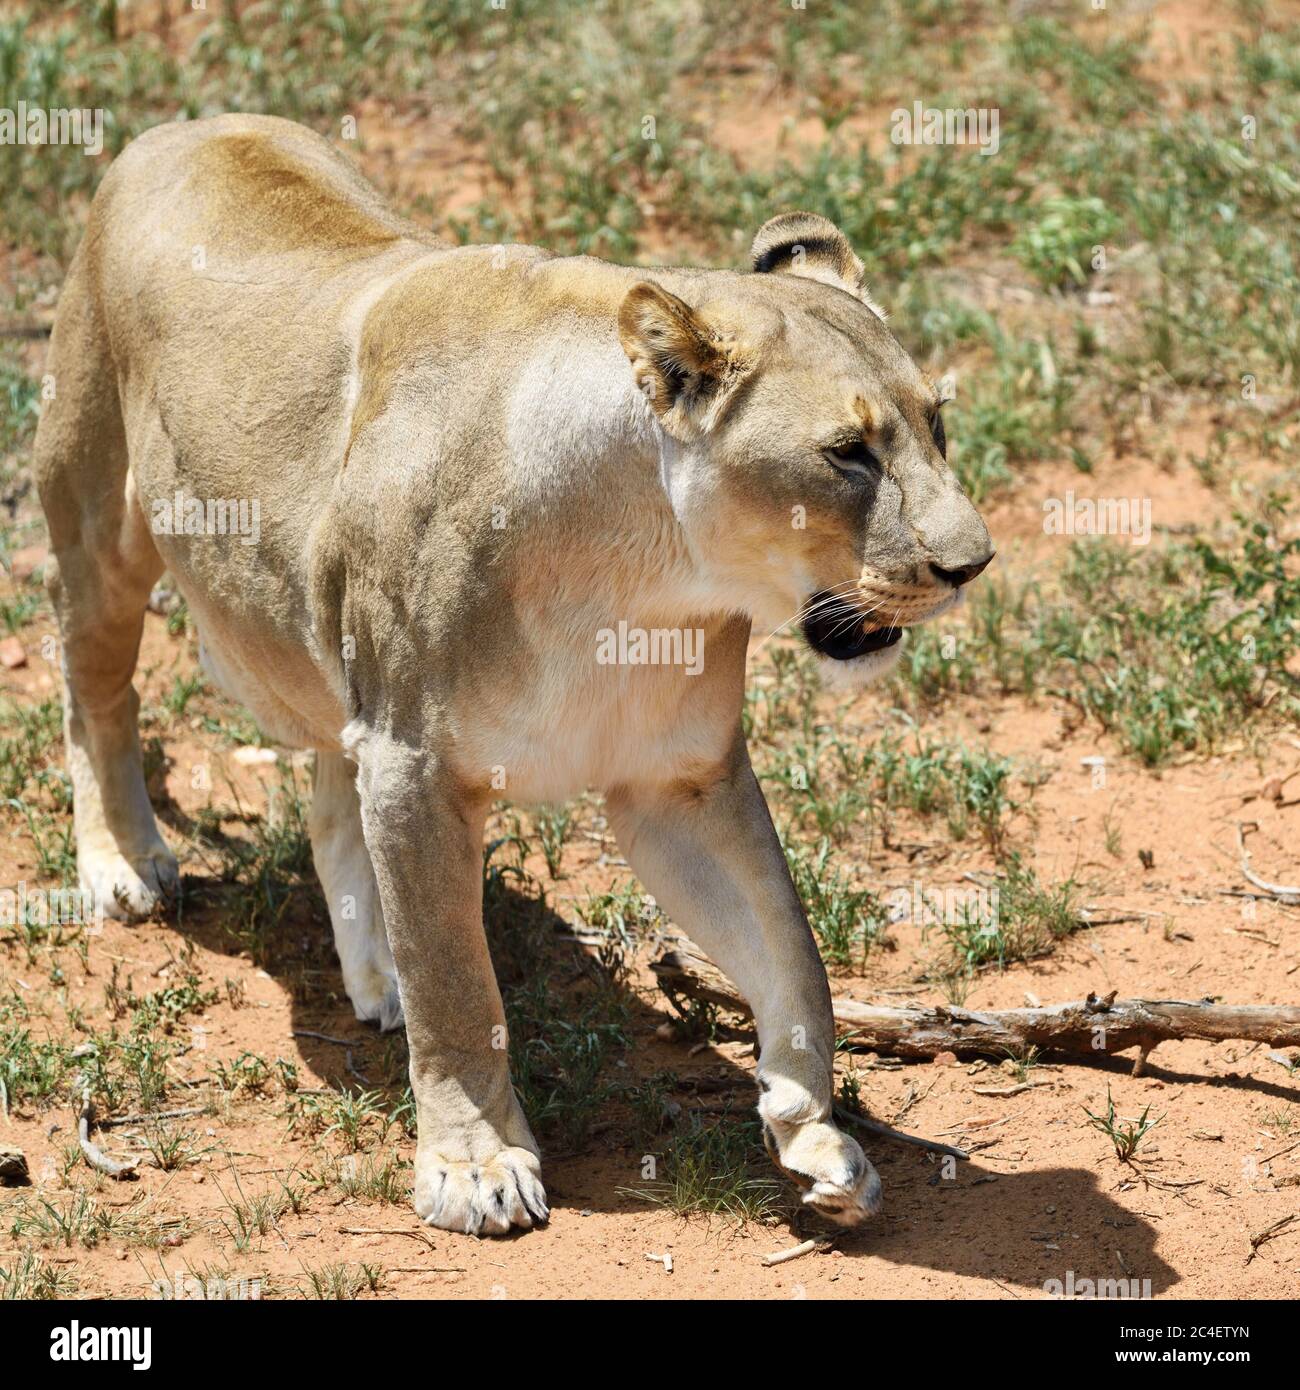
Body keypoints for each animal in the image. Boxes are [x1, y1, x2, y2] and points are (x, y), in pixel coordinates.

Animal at [35, 113, 993, 1236]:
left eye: (938, 422)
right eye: (846, 452)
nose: (972, 563)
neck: (641, 570)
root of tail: (186, 124)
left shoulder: (675, 779)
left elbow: (790, 951)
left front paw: (809, 1130)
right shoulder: (416, 759)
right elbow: (459, 989)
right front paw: (476, 1165)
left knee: (333, 788)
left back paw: (374, 964)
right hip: (99, 525)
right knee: (94, 689)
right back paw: (123, 861)